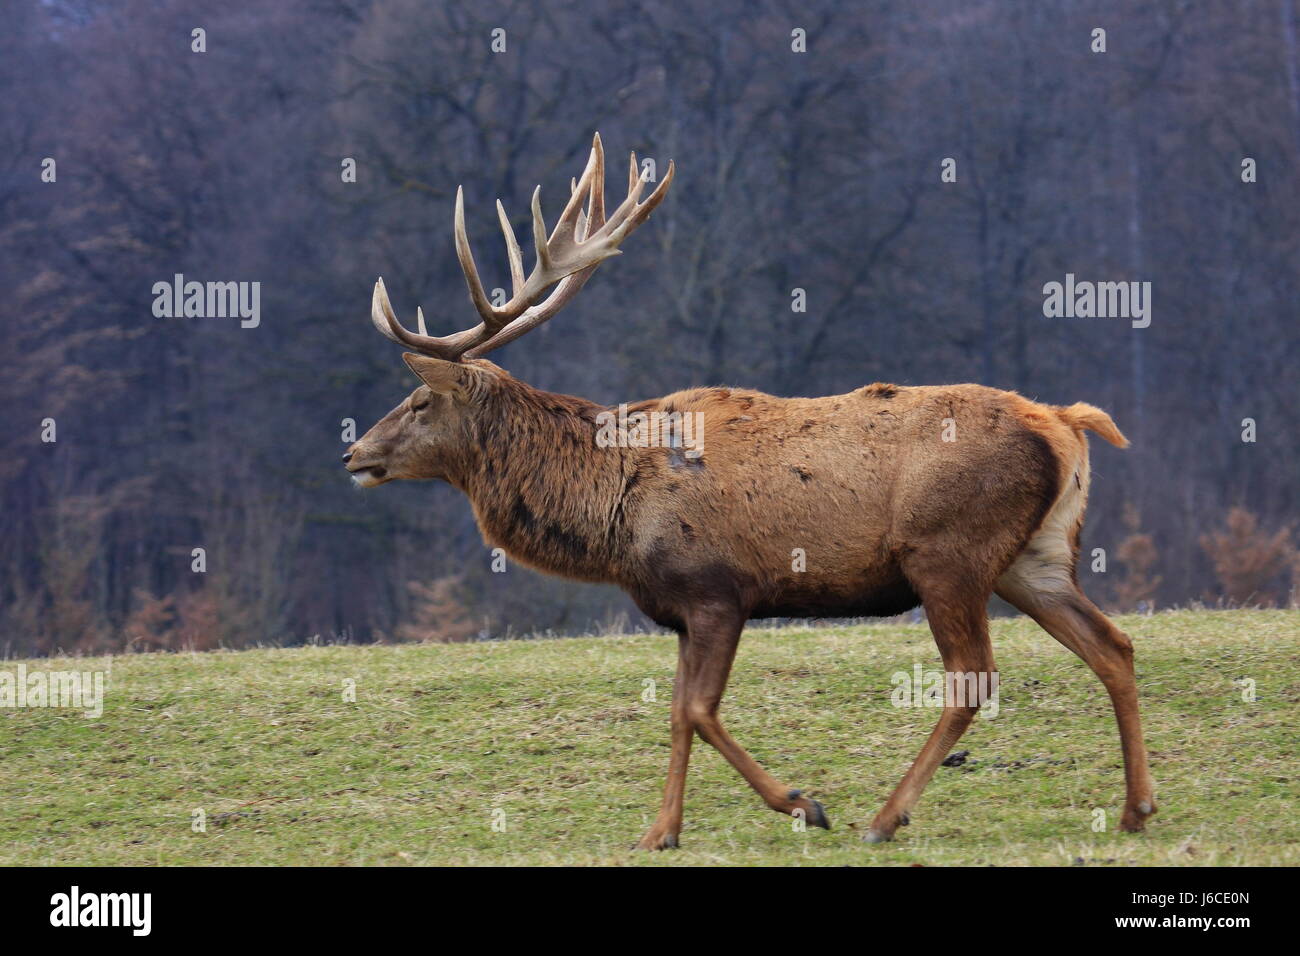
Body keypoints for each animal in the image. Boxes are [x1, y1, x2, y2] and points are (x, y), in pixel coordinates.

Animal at [344, 134, 1156, 849]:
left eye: (420, 402)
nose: (354, 453)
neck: (614, 516)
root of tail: (1066, 425)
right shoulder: (677, 611)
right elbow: (677, 713)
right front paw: (660, 833)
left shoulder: (716, 589)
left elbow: (701, 711)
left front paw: (804, 804)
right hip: (1034, 556)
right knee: (1112, 645)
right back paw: (1135, 808)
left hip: (947, 553)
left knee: (972, 677)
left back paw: (885, 818)